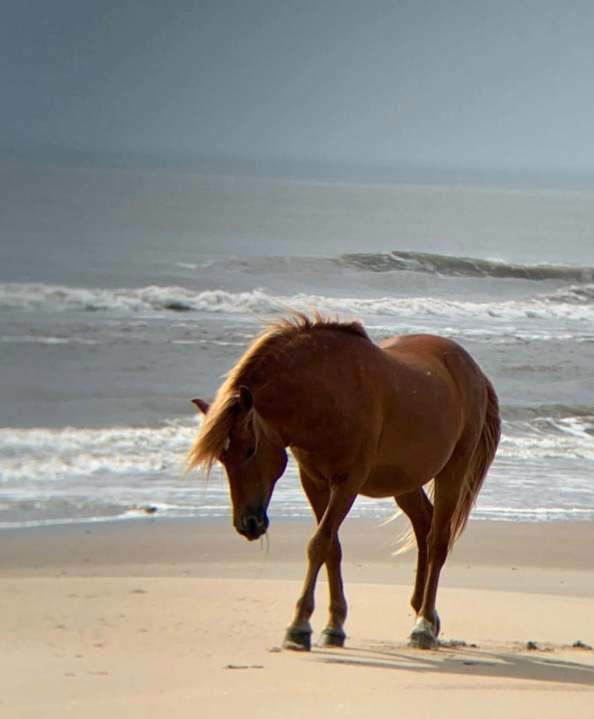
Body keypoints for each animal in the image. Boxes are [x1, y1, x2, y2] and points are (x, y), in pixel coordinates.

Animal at [187, 314, 500, 650]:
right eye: (222, 457)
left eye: (249, 449)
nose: (248, 524)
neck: (326, 395)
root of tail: (474, 371)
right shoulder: (314, 482)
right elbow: (332, 548)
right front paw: (334, 625)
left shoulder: (346, 485)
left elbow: (319, 544)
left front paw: (299, 626)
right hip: (404, 481)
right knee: (424, 526)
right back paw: (423, 611)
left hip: (453, 471)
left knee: (438, 540)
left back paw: (424, 625)